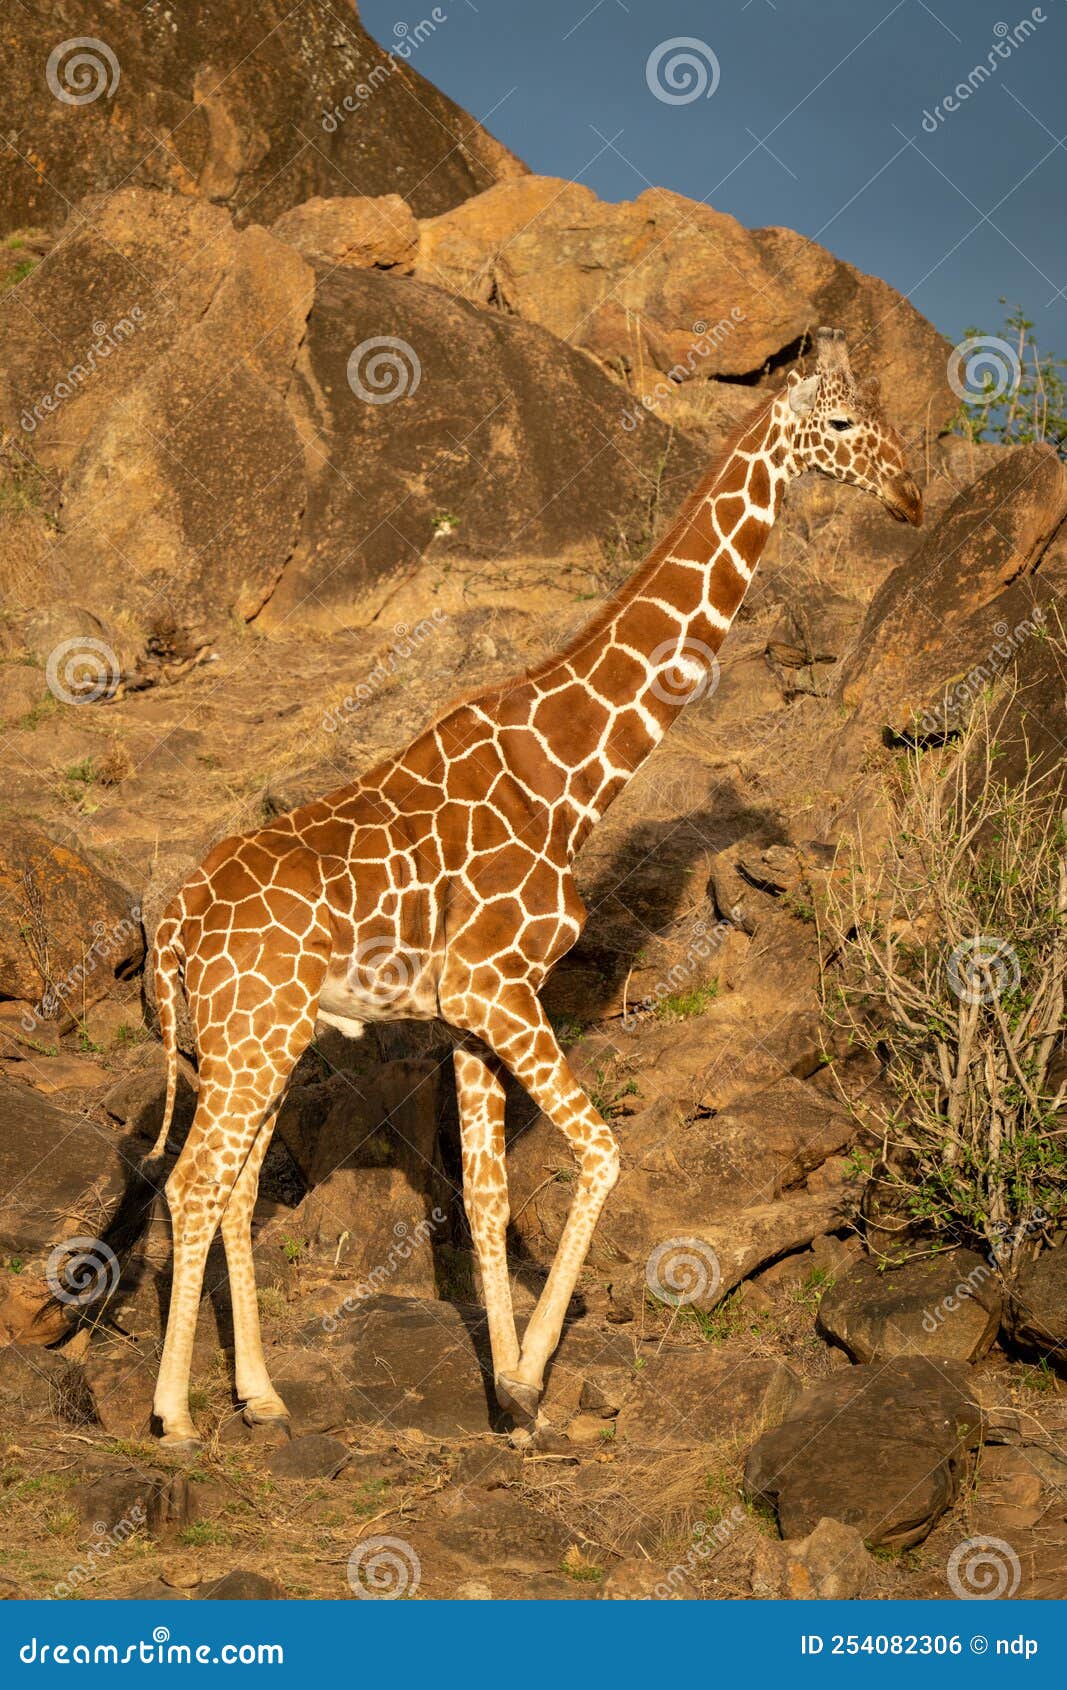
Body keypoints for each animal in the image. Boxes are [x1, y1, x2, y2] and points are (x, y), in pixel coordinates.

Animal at [132, 327, 921, 1447]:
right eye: (844, 421)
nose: (907, 494)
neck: (569, 777)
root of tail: (173, 923)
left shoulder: (466, 1013)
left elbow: (485, 1197)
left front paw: (505, 1389)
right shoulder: (496, 987)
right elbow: (602, 1154)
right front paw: (531, 1381)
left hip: (261, 1036)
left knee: (234, 1189)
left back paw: (262, 1394)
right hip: (250, 1033)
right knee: (194, 1182)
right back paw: (175, 1413)